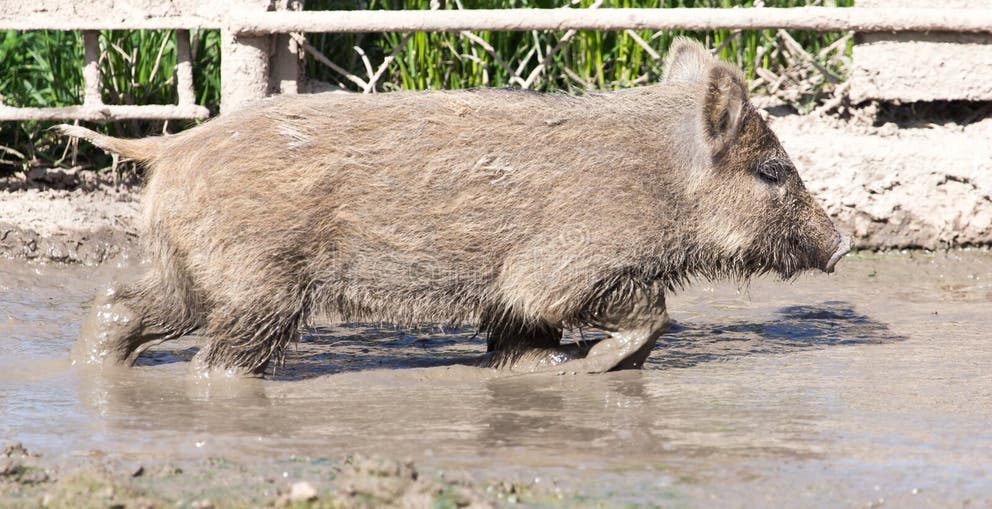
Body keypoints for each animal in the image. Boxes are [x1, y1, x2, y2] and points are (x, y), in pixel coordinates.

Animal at [60, 38, 849, 376]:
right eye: (773, 170)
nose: (843, 243)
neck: (659, 182)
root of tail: (171, 148)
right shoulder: (563, 265)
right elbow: (649, 312)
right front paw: (594, 365)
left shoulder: (509, 295)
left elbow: (517, 341)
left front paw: (551, 368)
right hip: (262, 284)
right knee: (218, 358)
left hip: (193, 270)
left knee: (124, 305)